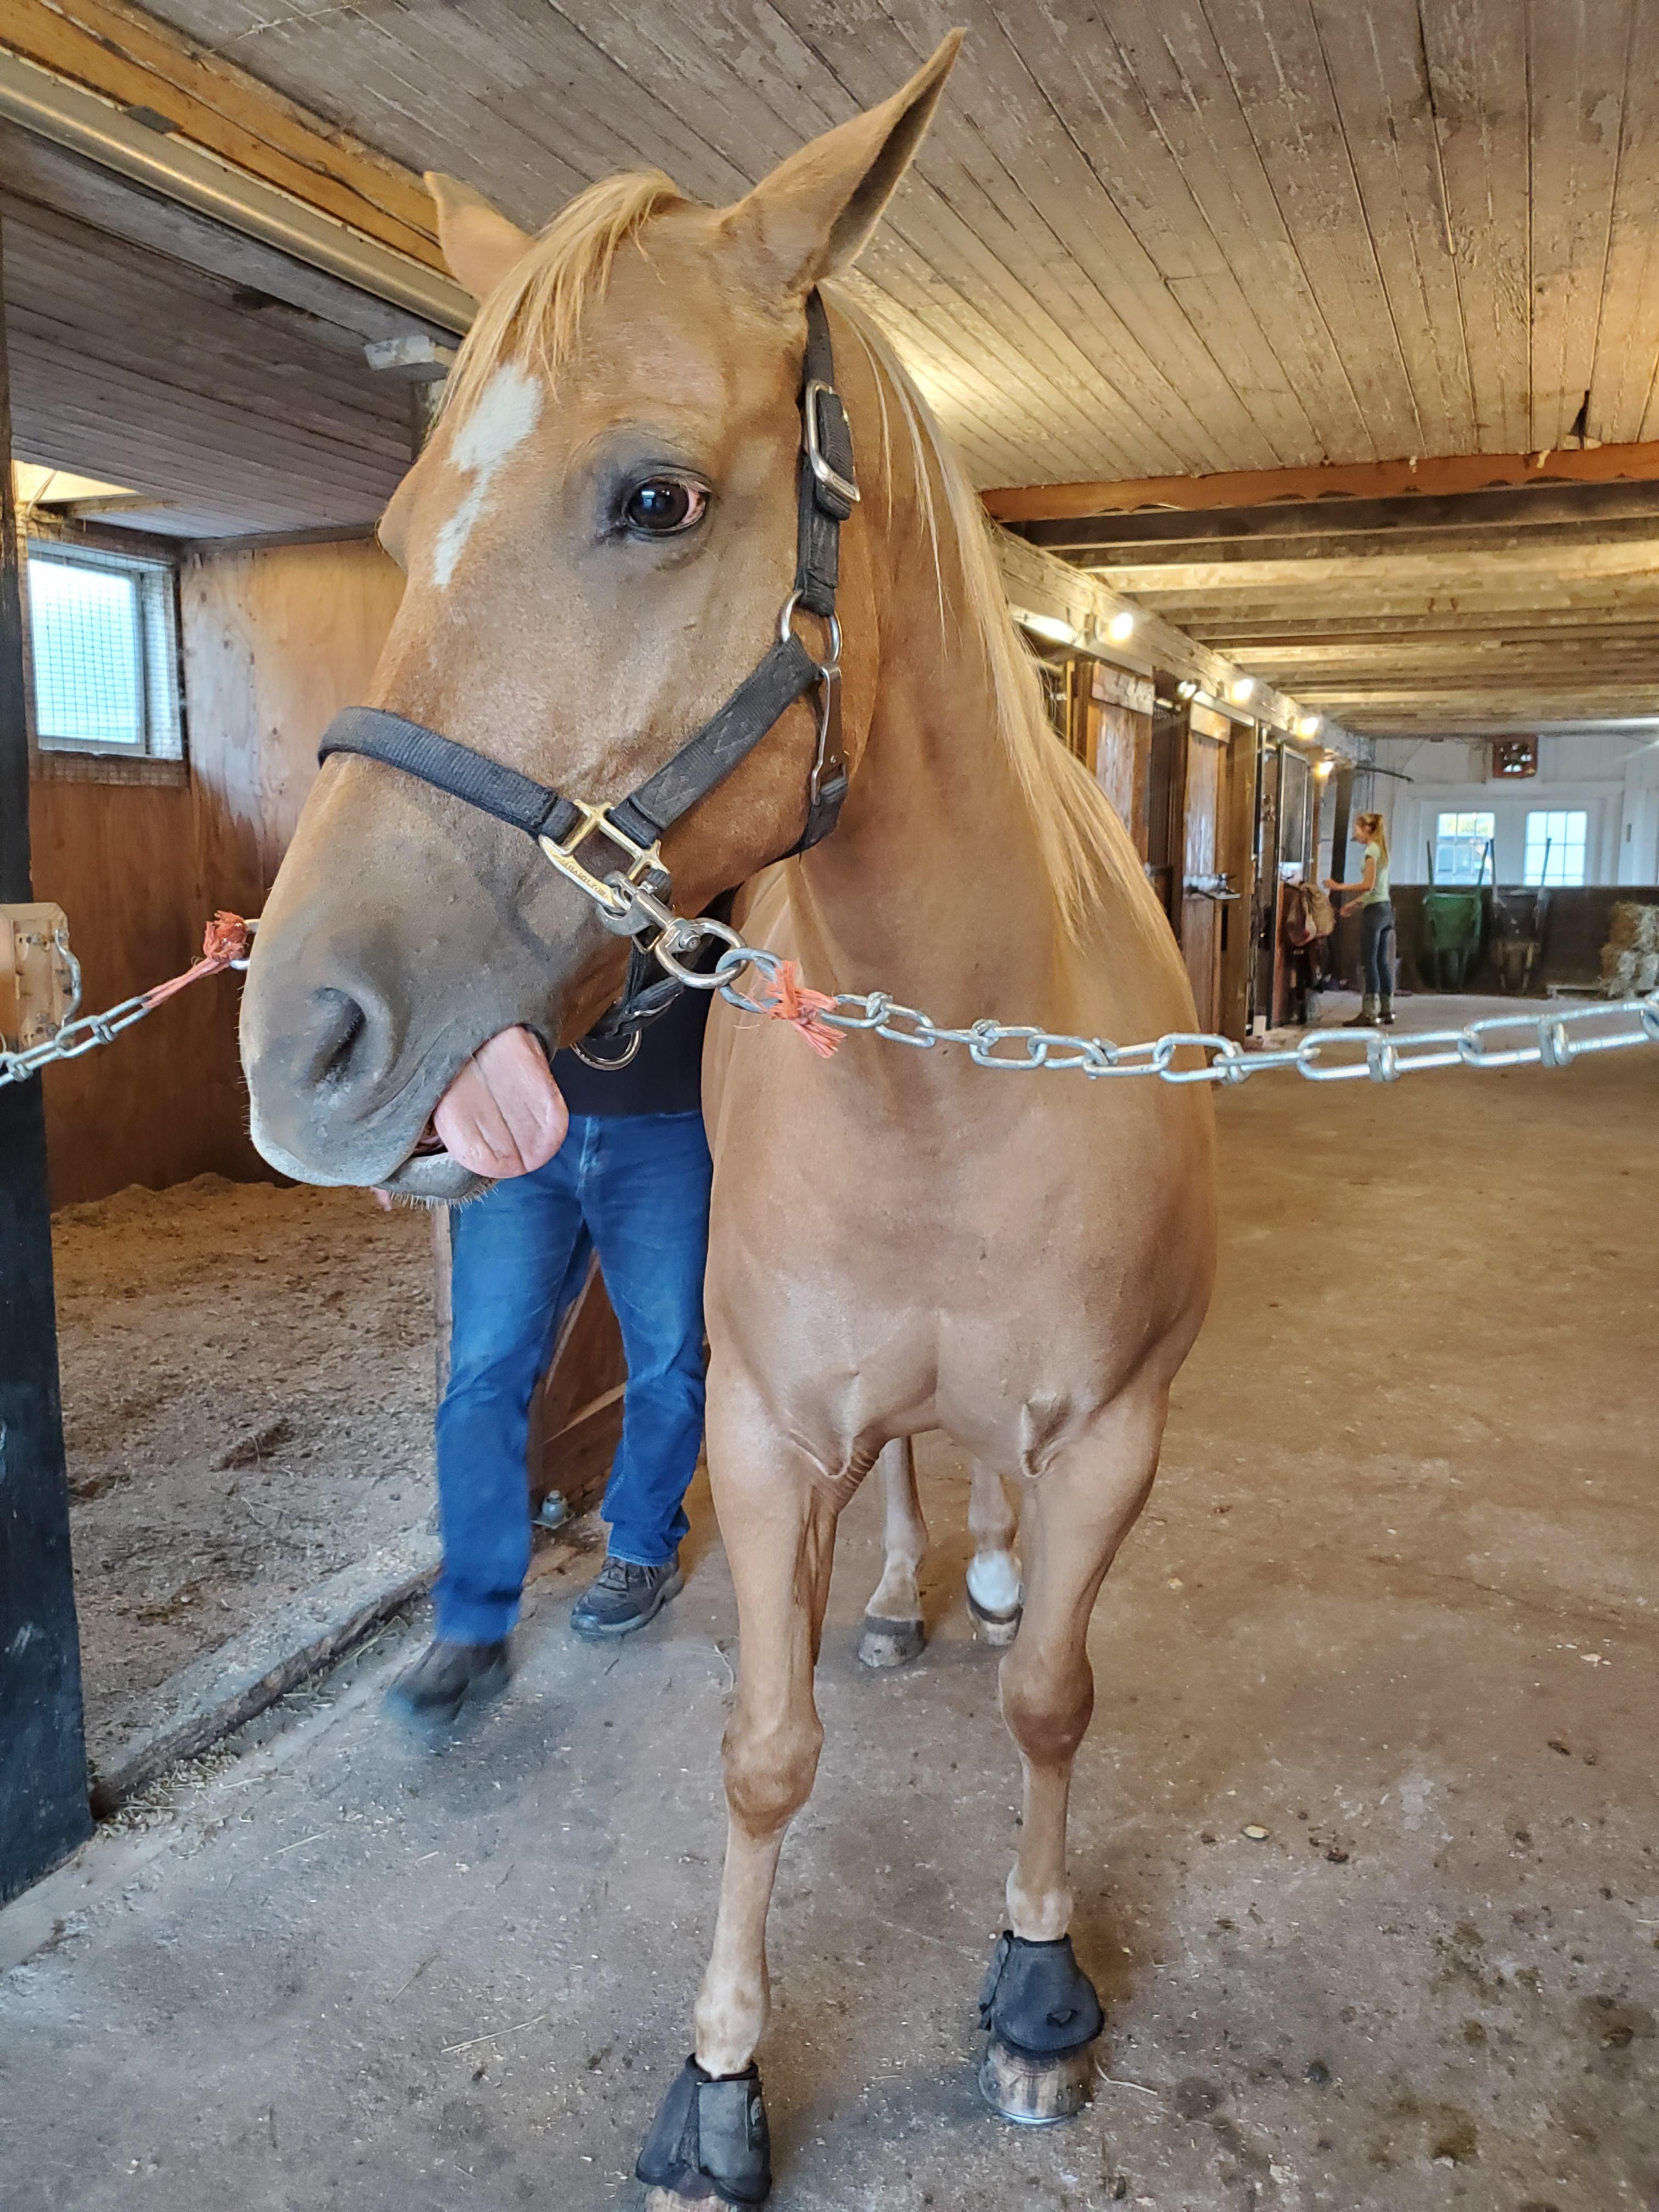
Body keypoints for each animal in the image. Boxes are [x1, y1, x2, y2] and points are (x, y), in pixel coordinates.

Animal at [240, 35, 1215, 2203]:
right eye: (405, 519)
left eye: (654, 497)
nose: (301, 1044)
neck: (952, 1075)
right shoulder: (767, 1434)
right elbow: (763, 1760)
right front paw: (715, 2085)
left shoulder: (1113, 1433)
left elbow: (1055, 1699)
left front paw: (1036, 1990)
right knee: (912, 1484)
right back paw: (901, 1596)